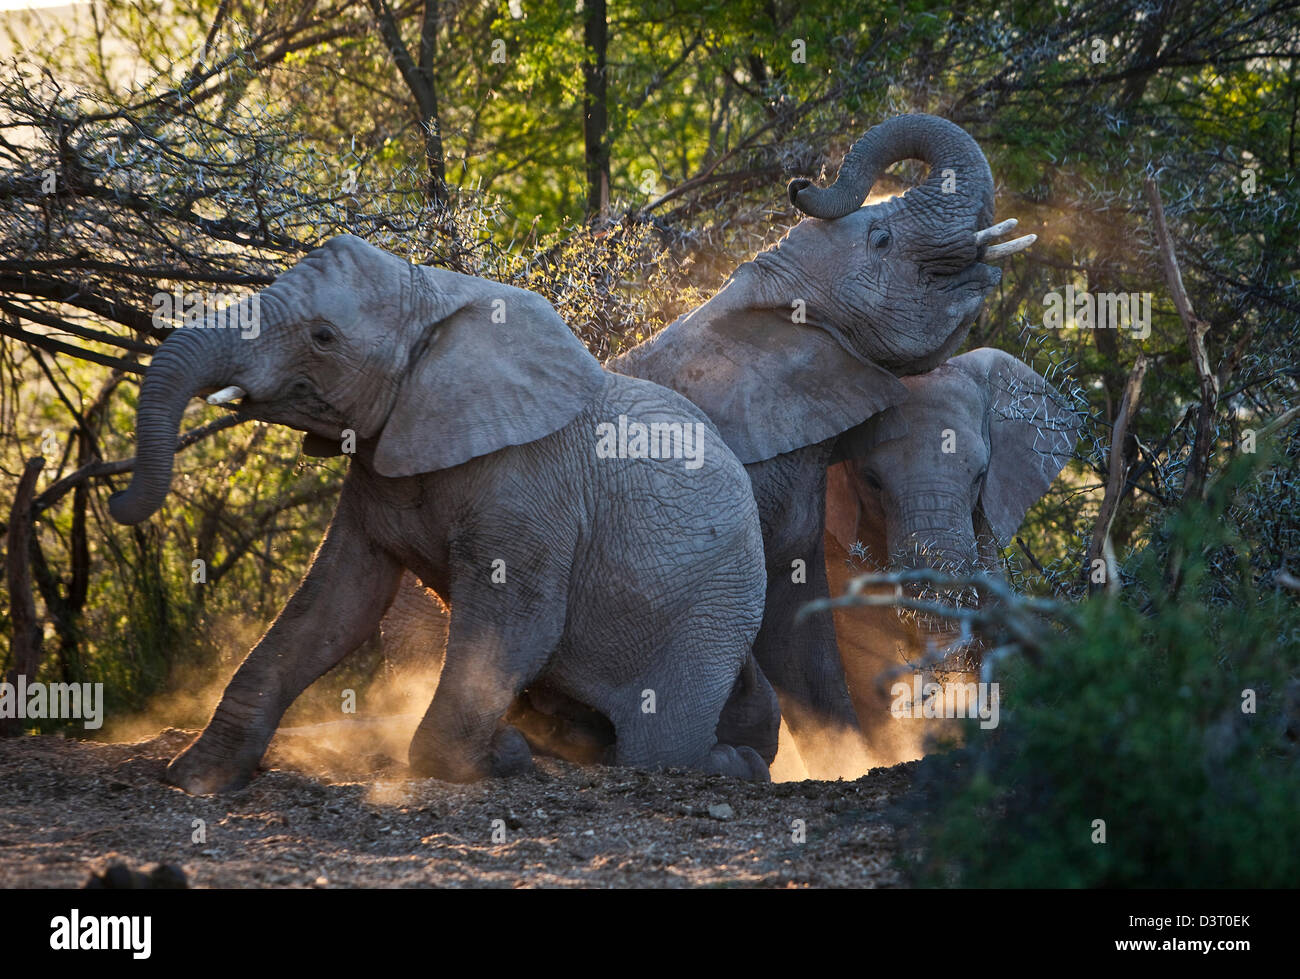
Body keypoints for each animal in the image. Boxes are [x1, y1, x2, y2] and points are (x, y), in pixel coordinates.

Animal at [108, 234, 780, 792]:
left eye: (323, 337)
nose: (117, 502)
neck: (437, 297)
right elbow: (335, 604)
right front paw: (195, 777)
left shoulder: (530, 483)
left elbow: (517, 622)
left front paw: (500, 757)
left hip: (712, 610)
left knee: (658, 742)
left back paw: (724, 764)